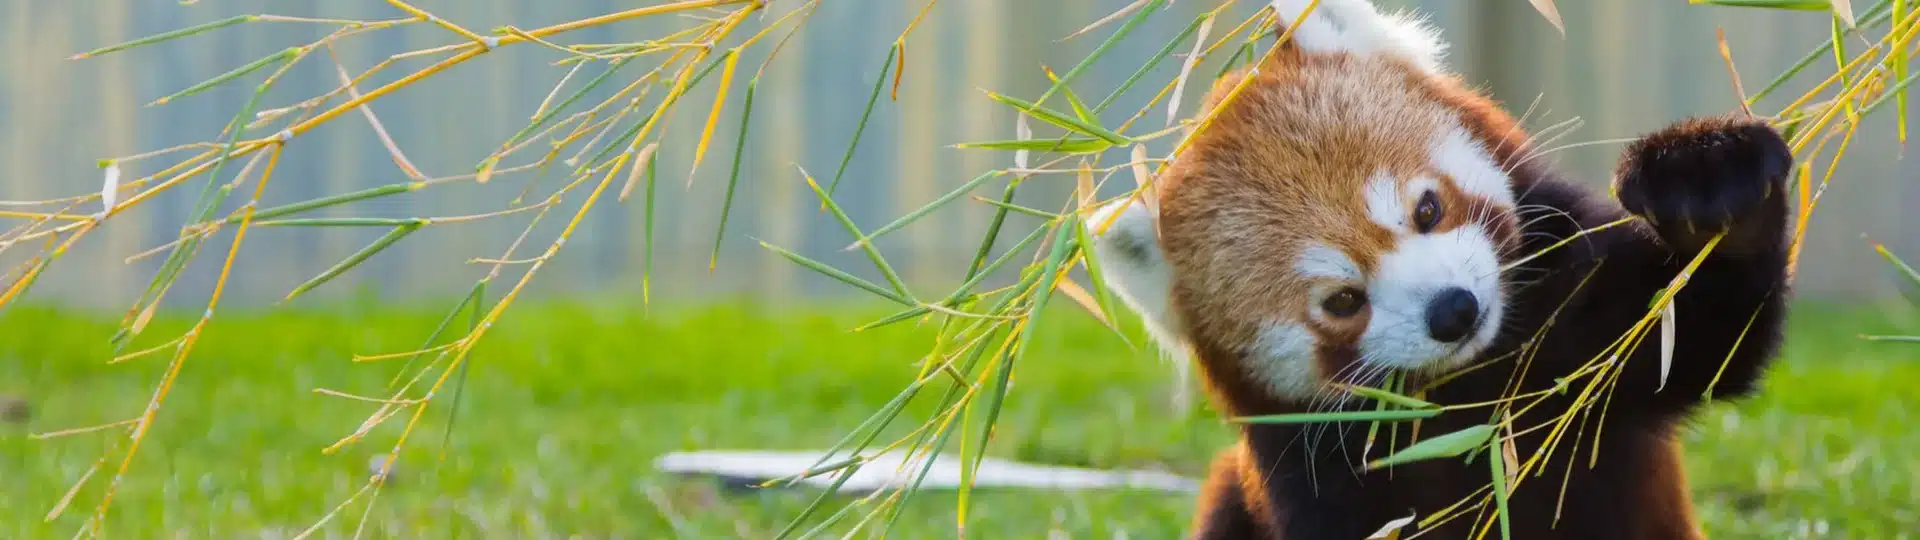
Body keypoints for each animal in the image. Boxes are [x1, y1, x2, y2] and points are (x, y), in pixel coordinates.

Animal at [1084, 0, 1794, 538]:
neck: (1464, 388)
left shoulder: (1582, 333)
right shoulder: (1315, 471)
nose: (1454, 310)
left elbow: (1705, 333)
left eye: (1426, 209)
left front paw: (1706, 176)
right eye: (1343, 301)